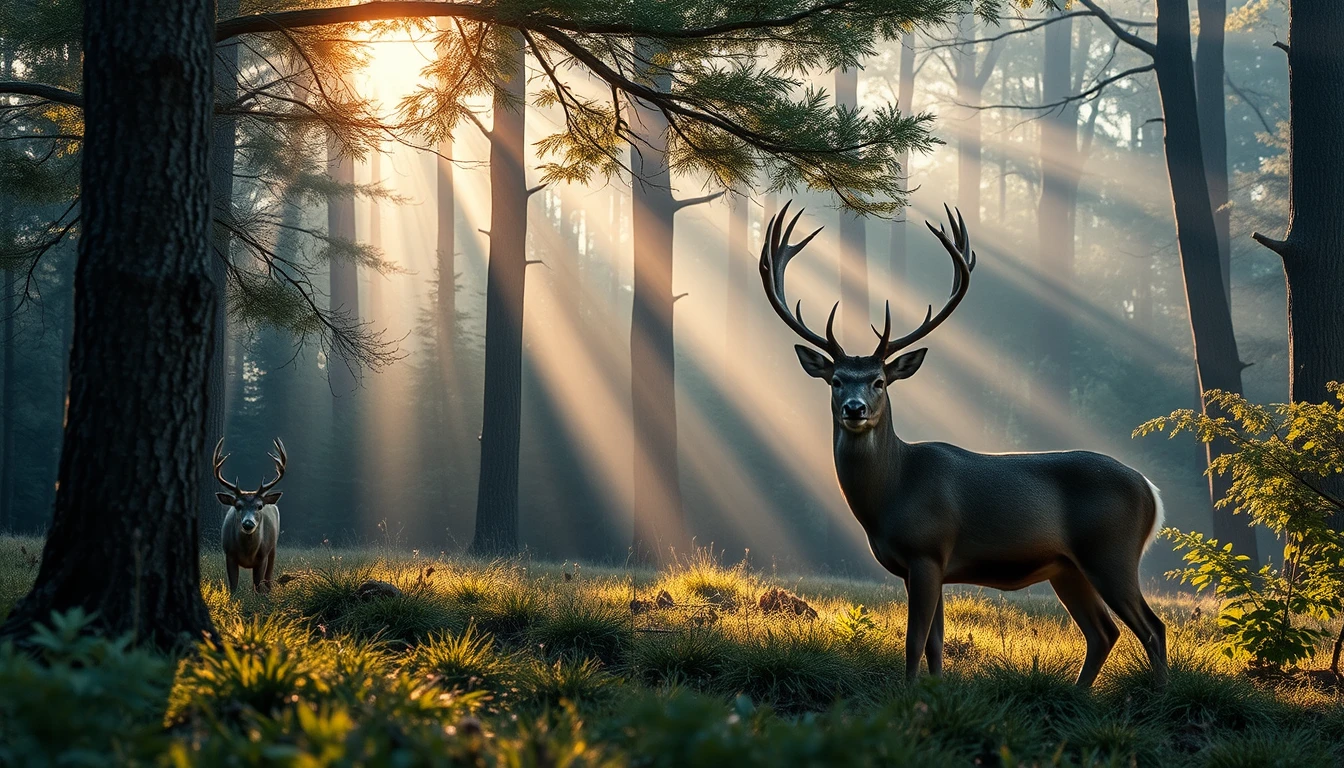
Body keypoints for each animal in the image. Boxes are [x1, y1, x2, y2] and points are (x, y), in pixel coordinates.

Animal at [213, 438, 286, 594]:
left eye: (259, 506)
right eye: (238, 506)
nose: (248, 523)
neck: (248, 553)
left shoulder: (263, 557)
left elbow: (258, 586)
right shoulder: (229, 555)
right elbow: (233, 587)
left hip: (273, 548)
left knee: (268, 580)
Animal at [759, 203, 1167, 688]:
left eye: (879, 381)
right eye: (836, 380)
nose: (854, 409)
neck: (893, 493)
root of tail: (1150, 490)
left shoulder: (928, 549)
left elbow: (914, 641)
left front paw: (908, 695)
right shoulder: (926, 565)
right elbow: (935, 642)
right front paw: (934, 692)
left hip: (1112, 552)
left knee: (1152, 626)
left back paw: (1162, 694)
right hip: (1069, 567)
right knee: (1103, 632)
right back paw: (1078, 694)